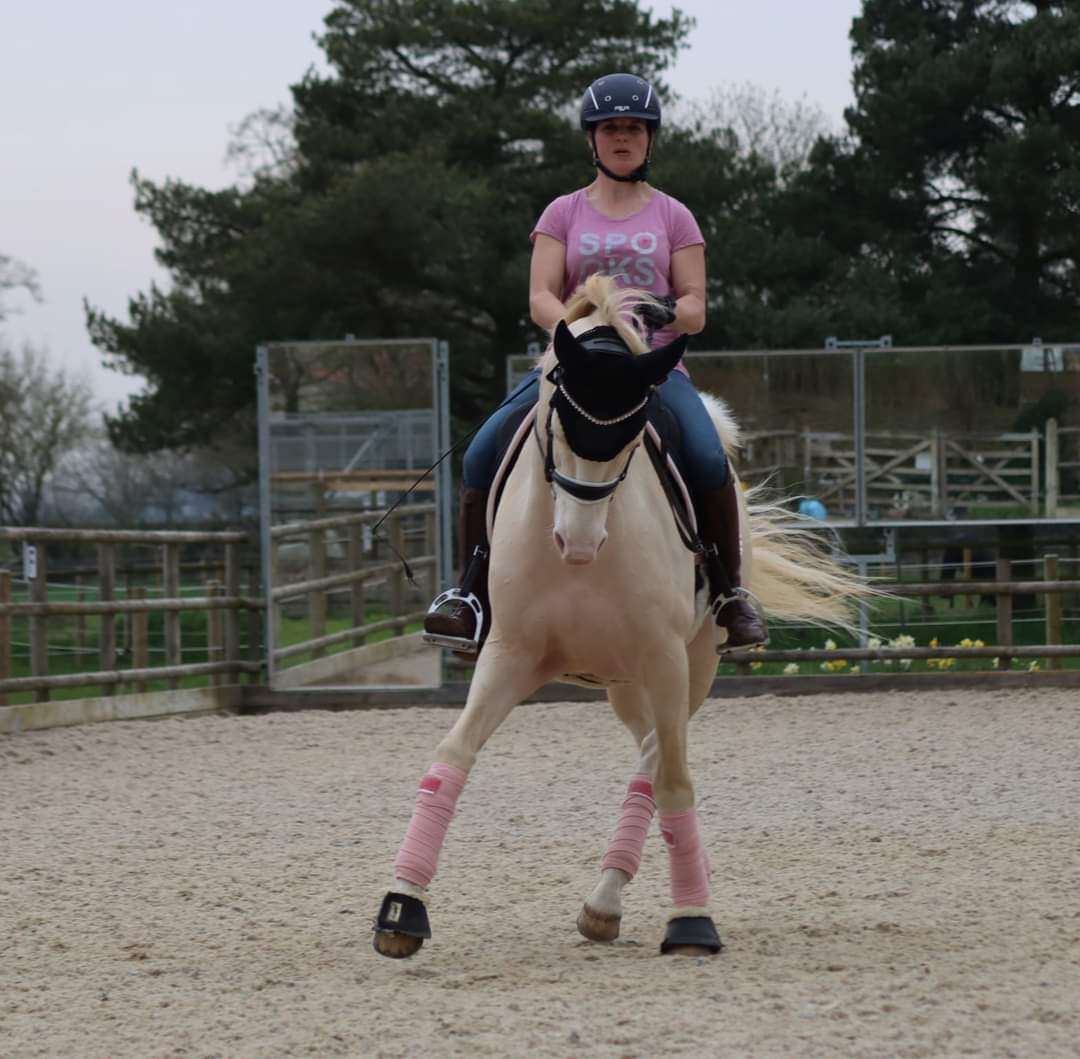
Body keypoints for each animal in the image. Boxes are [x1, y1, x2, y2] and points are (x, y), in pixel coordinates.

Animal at [373, 274, 870, 957]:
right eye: (556, 422)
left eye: (637, 434)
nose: (578, 542)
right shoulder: (510, 654)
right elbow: (451, 758)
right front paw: (401, 909)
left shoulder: (664, 656)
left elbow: (675, 779)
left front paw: (692, 921)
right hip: (624, 685)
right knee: (650, 749)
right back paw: (624, 895)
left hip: (689, 664)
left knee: (661, 760)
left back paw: (621, 898)